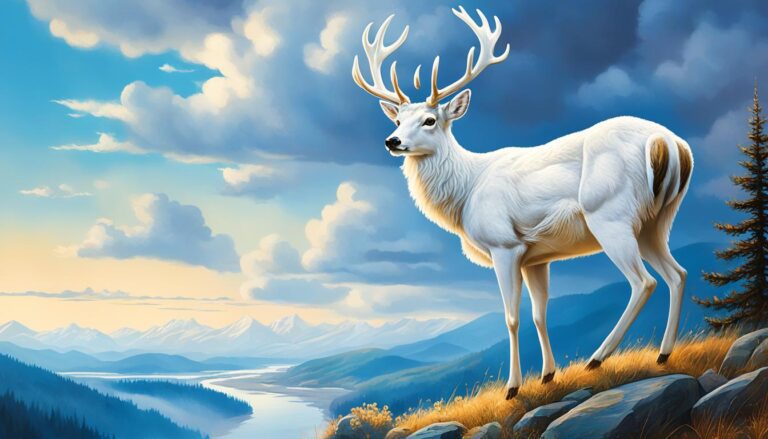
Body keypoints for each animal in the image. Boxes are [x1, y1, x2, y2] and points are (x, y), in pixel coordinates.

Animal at [351, 7, 693, 399]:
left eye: (430, 120)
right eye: (397, 118)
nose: (392, 141)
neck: (466, 194)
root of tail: (669, 144)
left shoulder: (505, 244)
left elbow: (512, 318)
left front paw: (513, 387)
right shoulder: (537, 257)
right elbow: (539, 314)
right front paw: (547, 375)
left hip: (611, 215)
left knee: (643, 282)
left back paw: (597, 358)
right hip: (657, 220)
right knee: (678, 273)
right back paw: (664, 354)